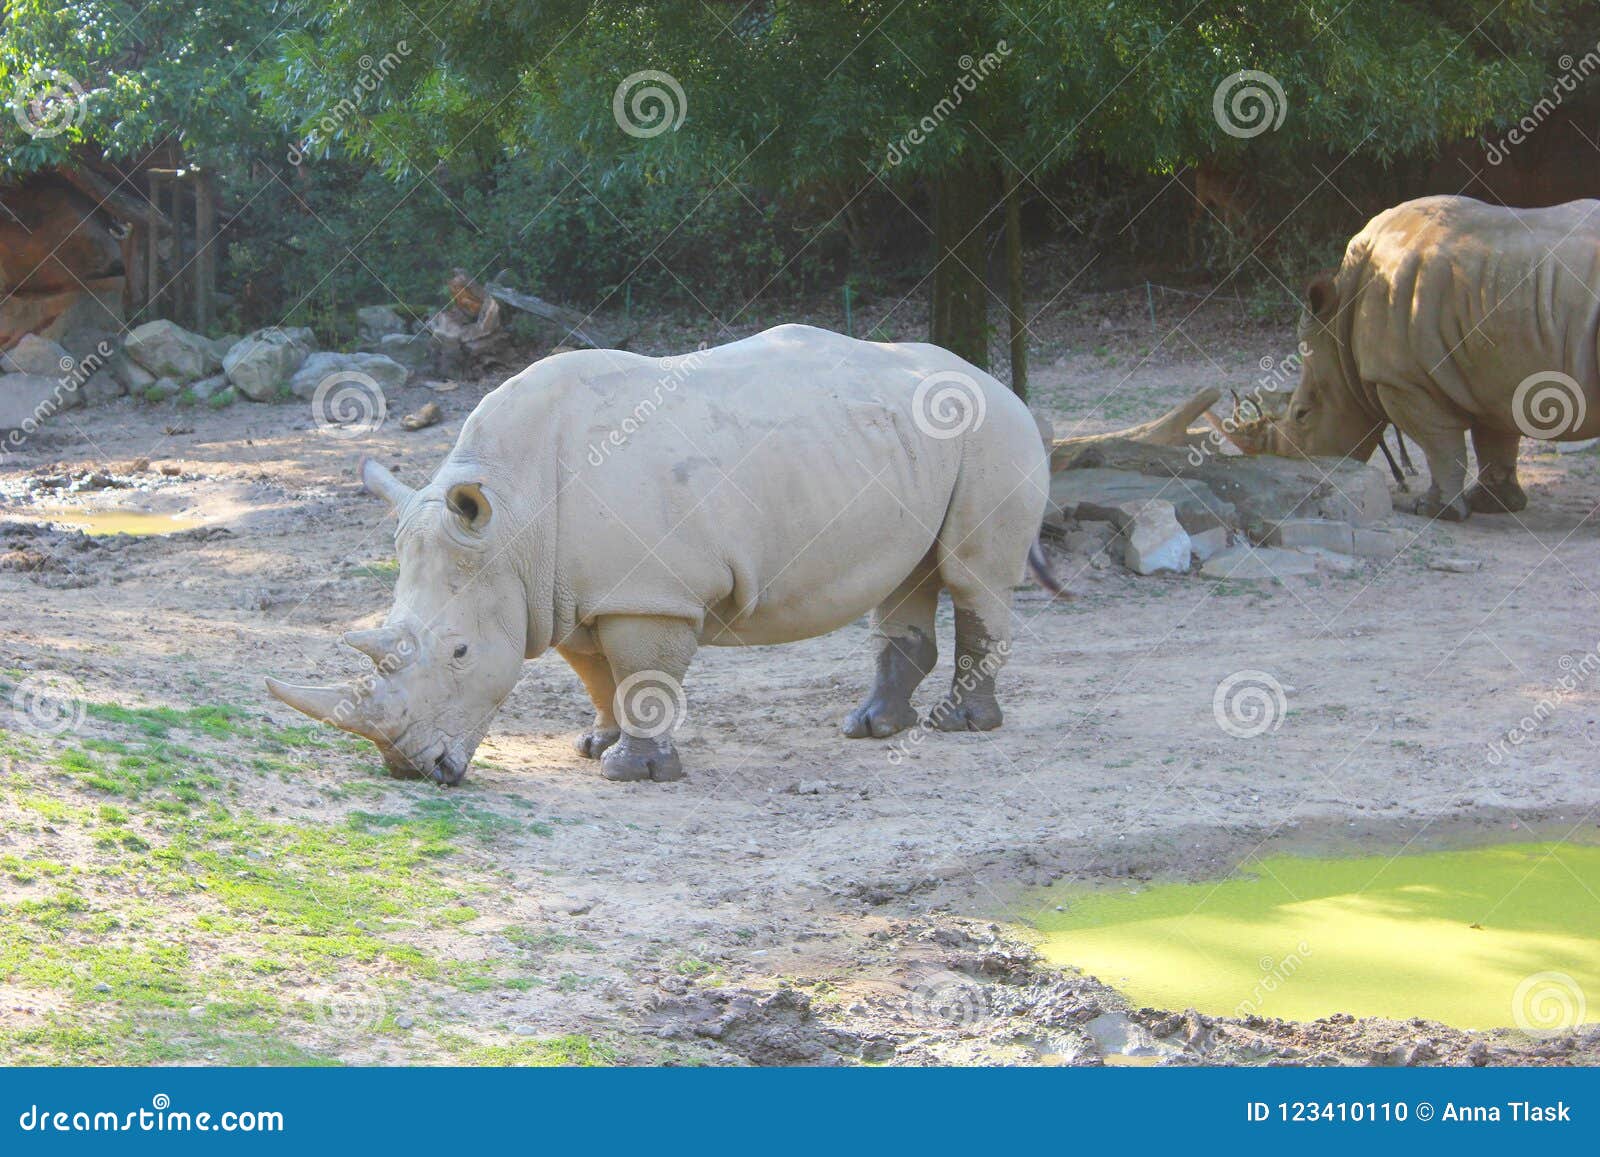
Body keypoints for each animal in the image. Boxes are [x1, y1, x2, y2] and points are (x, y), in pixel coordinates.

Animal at [267, 324, 1053, 785]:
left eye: (459, 653)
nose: (411, 768)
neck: (514, 521)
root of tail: (995, 381)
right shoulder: (566, 588)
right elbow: (596, 672)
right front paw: (594, 746)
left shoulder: (648, 590)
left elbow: (644, 673)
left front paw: (632, 771)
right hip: (910, 442)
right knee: (908, 576)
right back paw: (870, 728)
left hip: (993, 432)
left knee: (972, 576)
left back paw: (961, 727)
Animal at [1222, 195, 1600, 520]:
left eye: (1302, 415)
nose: (1287, 463)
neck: (1339, 330)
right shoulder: (1493, 375)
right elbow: (1495, 439)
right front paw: (1494, 504)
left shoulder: (1403, 380)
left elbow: (1440, 445)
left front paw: (1434, 511)